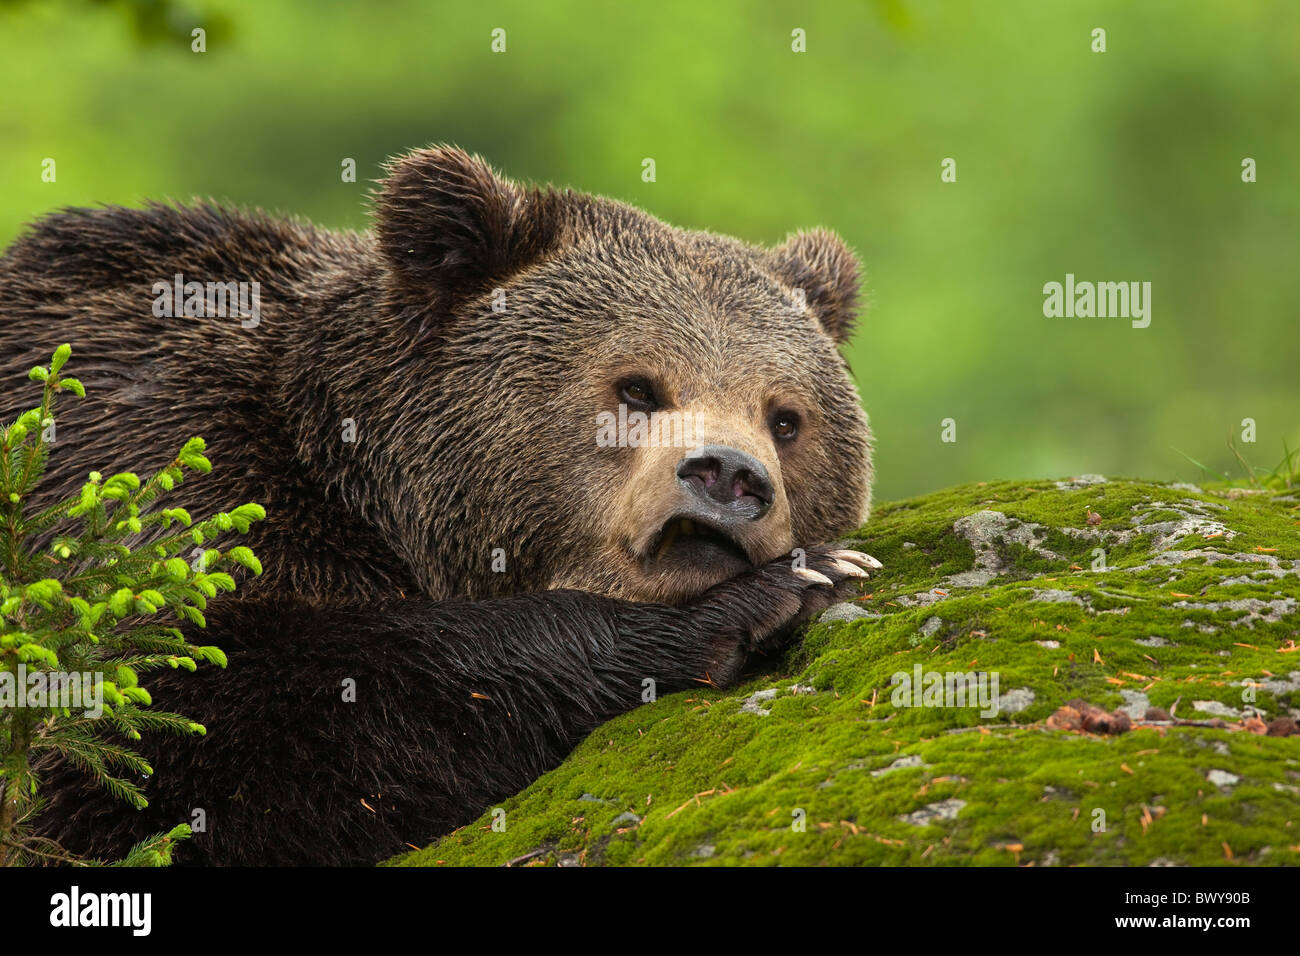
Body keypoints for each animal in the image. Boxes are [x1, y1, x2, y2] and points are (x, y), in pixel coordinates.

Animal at [0, 146, 877, 865]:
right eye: (637, 386)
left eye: (785, 417)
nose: (726, 474)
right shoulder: (148, 456)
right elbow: (166, 737)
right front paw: (773, 594)